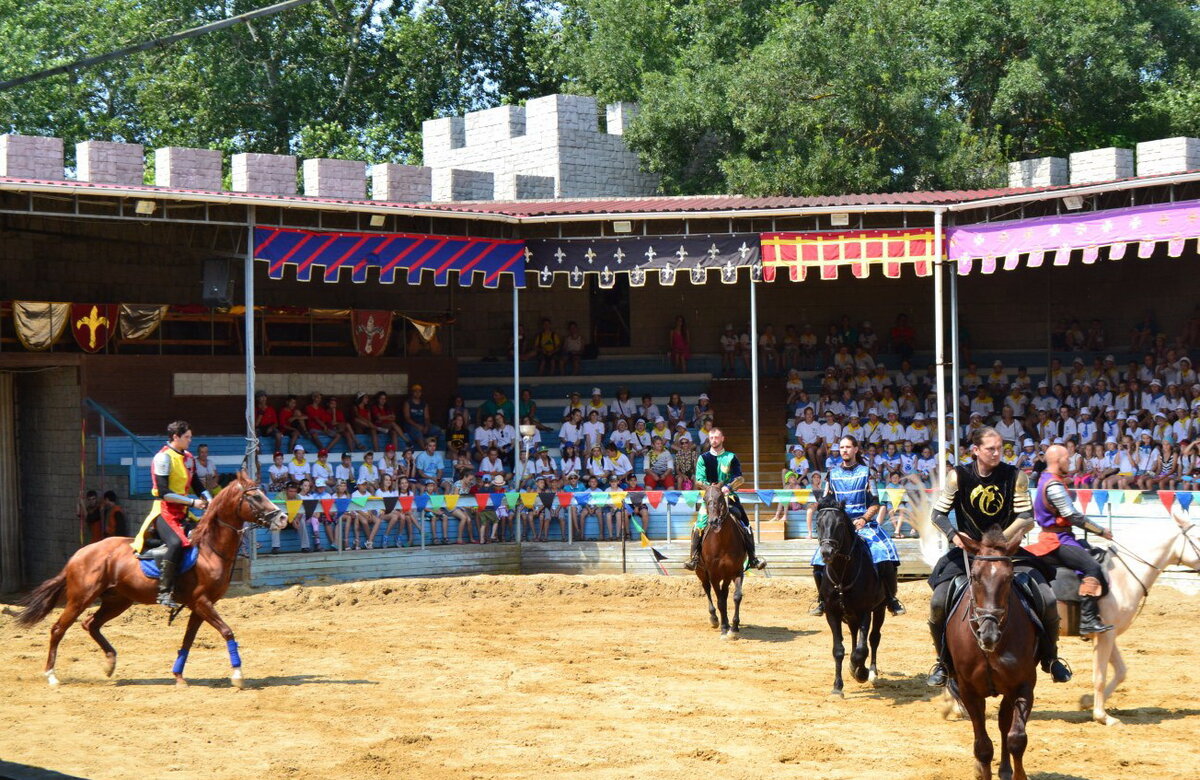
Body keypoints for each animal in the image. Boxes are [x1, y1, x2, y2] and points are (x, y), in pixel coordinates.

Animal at [13, 472, 283, 686]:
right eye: (255, 497)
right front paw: (237, 675)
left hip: (117, 601)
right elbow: (227, 632)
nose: (281, 518)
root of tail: (79, 554)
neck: (209, 550)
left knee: (91, 624)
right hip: (81, 599)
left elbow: (188, 639)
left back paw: (110, 663)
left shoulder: (199, 606)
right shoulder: (202, 602)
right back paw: (51, 675)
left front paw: (178, 676)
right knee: (58, 629)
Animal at [691, 484, 744, 638]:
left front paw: (734, 628)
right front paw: (725, 627)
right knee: (707, 589)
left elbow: (736, 597)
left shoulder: (736, 571)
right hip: (701, 572)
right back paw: (714, 618)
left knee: (724, 594)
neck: (722, 542)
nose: (713, 521)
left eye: (721, 497)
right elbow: (720, 601)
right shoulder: (713, 575)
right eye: (704, 498)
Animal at [811, 489, 888, 696]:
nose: (826, 552)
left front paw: (861, 672)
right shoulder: (833, 613)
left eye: (839, 524)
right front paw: (838, 686)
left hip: (880, 608)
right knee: (855, 636)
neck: (842, 574)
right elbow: (838, 649)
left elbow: (862, 649)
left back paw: (872, 671)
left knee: (874, 638)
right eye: (818, 523)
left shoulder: (865, 611)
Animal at [945, 525, 1041, 772]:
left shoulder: (1023, 685)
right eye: (975, 577)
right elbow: (983, 747)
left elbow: (1016, 738)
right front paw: (982, 768)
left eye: (1009, 578)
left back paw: (1005, 770)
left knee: (1004, 723)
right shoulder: (968, 690)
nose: (989, 634)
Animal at [1089, 511, 1200, 724]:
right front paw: (1102, 716)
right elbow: (1100, 676)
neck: (1122, 575)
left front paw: (1086, 702)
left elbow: (1121, 672)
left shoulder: (1110, 633)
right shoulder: (1104, 635)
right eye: (1198, 537)